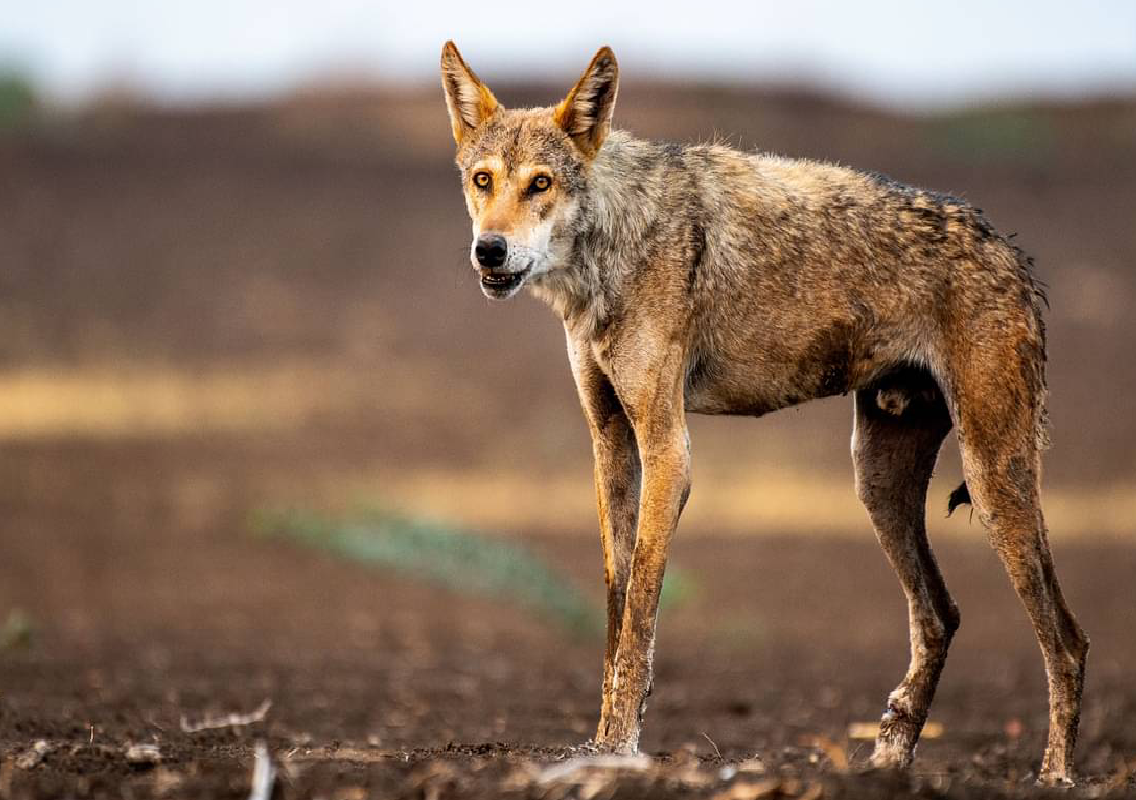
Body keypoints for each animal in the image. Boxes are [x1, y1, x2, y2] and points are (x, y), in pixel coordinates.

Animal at [440, 41, 1088, 785]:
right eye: (484, 180)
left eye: (540, 184)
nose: (489, 250)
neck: (614, 241)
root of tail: (1012, 252)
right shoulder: (611, 448)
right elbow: (614, 612)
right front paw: (601, 741)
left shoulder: (668, 450)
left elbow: (639, 622)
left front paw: (618, 750)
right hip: (879, 484)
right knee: (942, 616)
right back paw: (888, 758)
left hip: (994, 481)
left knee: (1067, 640)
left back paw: (1055, 776)